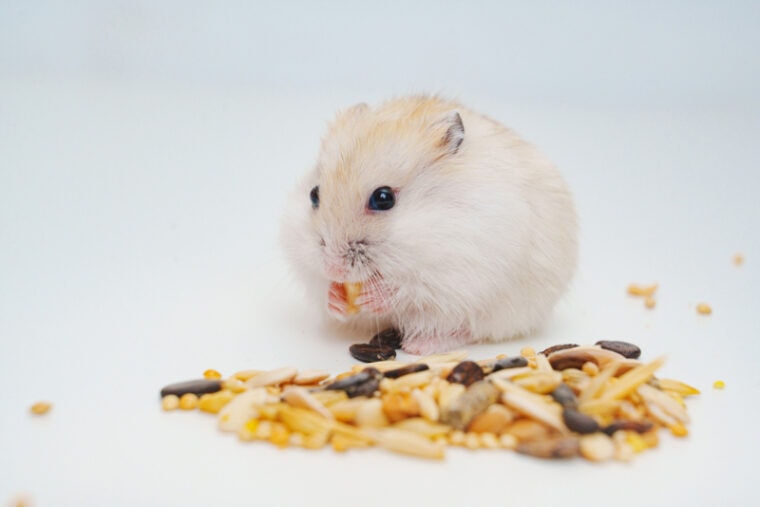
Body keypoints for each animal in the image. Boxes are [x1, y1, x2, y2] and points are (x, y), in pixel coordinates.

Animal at [281, 95, 578, 355]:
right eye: (314, 195)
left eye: (383, 198)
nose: (334, 268)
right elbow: (319, 283)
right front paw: (336, 298)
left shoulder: (455, 266)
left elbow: (411, 288)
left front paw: (372, 297)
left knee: (469, 329)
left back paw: (420, 346)